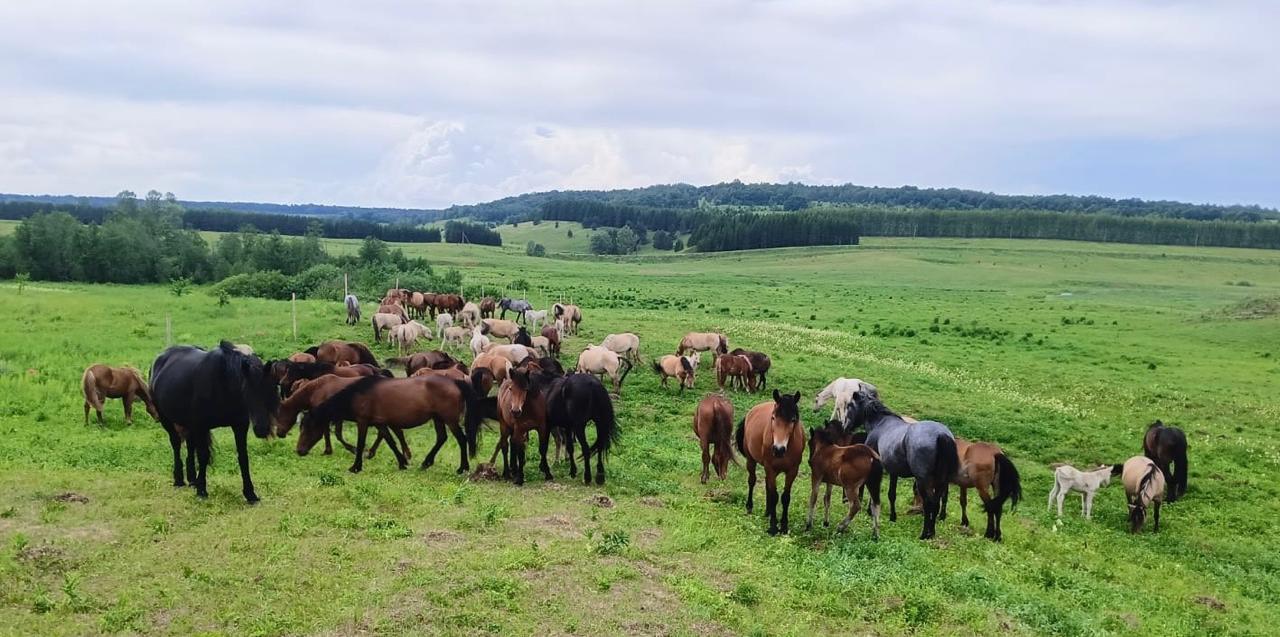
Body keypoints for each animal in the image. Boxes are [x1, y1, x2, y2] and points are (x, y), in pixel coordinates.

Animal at [149, 340, 280, 501]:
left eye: (271, 391)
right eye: (247, 392)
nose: (262, 429)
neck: (223, 384)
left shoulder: (240, 425)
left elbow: (243, 457)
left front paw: (250, 494)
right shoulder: (201, 425)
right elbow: (203, 456)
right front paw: (202, 491)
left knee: (190, 445)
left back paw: (192, 479)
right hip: (166, 419)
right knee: (176, 443)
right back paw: (179, 479)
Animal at [737, 391, 803, 534]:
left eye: (793, 420)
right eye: (773, 418)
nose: (778, 449)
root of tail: (751, 412)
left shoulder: (792, 471)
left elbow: (785, 497)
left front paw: (784, 526)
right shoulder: (770, 468)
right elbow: (774, 496)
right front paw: (773, 527)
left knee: (767, 485)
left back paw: (768, 512)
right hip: (751, 461)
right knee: (752, 481)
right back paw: (749, 507)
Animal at [844, 388, 957, 537]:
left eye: (850, 405)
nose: (845, 427)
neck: (880, 423)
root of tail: (941, 434)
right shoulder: (893, 472)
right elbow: (892, 494)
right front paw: (893, 517)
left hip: (923, 480)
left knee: (929, 503)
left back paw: (924, 534)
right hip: (940, 480)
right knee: (937, 502)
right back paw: (931, 532)